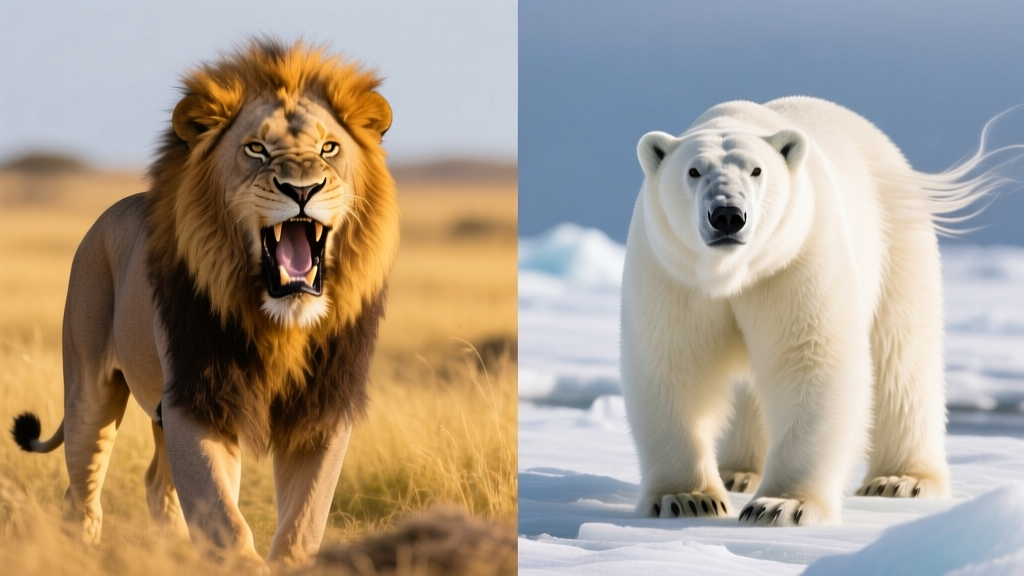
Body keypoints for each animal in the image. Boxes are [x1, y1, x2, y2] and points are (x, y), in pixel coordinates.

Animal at [9, 38, 399, 567]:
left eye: (329, 149)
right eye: (256, 149)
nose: (302, 189)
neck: (280, 323)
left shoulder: (322, 410)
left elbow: (304, 520)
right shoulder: (198, 399)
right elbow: (221, 514)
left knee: (157, 484)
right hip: (91, 391)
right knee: (82, 491)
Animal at [620, 96, 998, 526]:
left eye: (757, 169)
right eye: (693, 170)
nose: (728, 215)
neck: (732, 273)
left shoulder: (796, 261)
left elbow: (810, 361)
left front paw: (780, 505)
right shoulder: (672, 275)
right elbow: (672, 365)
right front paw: (686, 499)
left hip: (897, 246)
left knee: (901, 361)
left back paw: (901, 480)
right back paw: (738, 472)